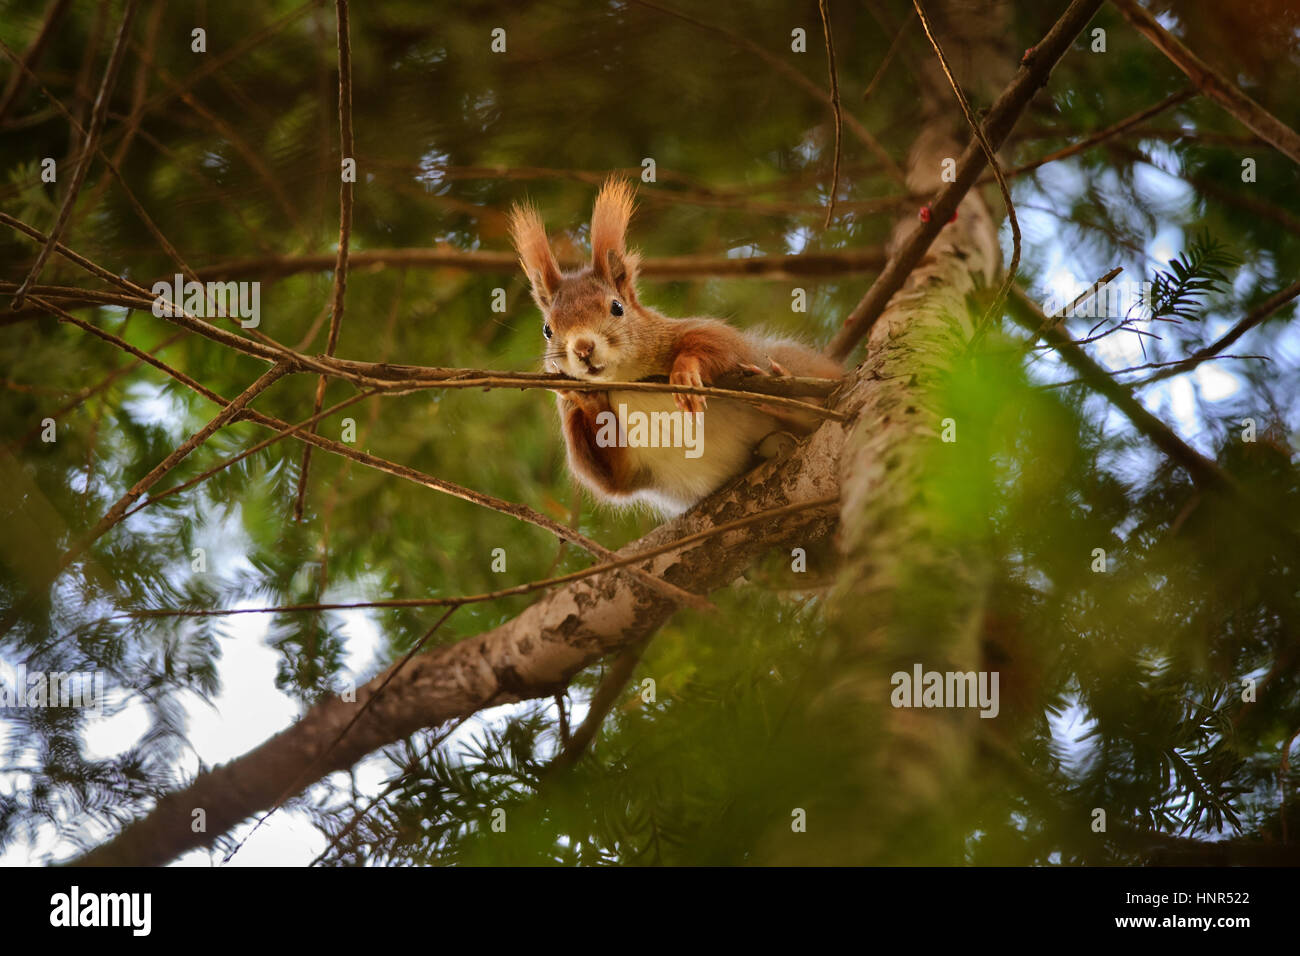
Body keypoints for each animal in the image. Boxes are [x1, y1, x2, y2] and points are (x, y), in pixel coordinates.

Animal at [509, 178, 844, 515]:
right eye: (547, 329)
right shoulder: (625, 467)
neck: (626, 383)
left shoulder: (692, 334)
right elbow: (612, 475)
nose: (582, 348)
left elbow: (718, 343)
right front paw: (587, 398)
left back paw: (785, 400)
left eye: (617, 307)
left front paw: (685, 372)